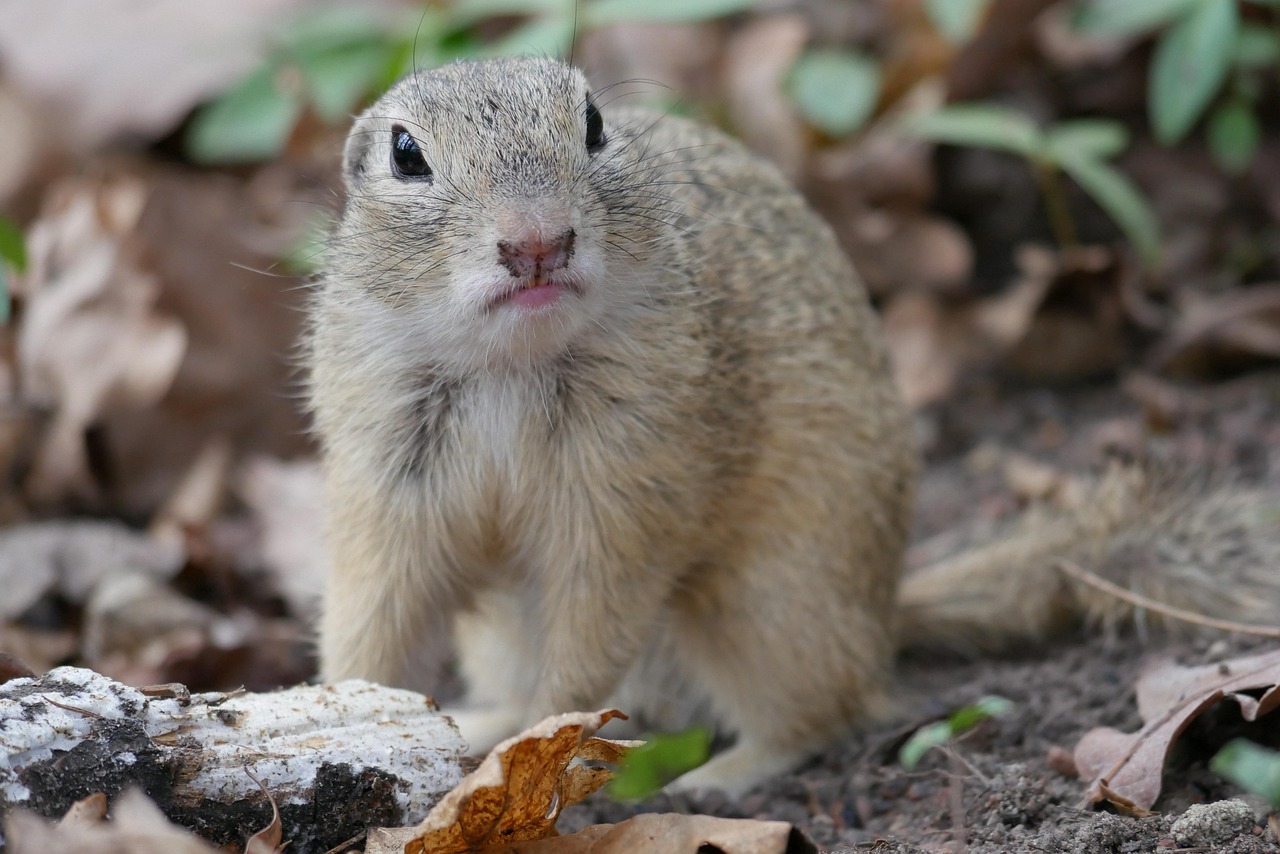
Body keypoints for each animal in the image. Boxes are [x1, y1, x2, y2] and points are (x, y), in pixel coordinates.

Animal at [306, 56, 1280, 795]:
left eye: (592, 124)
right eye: (406, 154)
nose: (537, 242)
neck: (513, 363)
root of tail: (883, 615)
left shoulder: (625, 496)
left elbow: (592, 629)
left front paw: (546, 744)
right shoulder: (386, 484)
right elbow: (372, 615)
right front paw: (344, 710)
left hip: (766, 606)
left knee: (817, 713)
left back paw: (716, 777)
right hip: (514, 634)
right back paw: (483, 723)